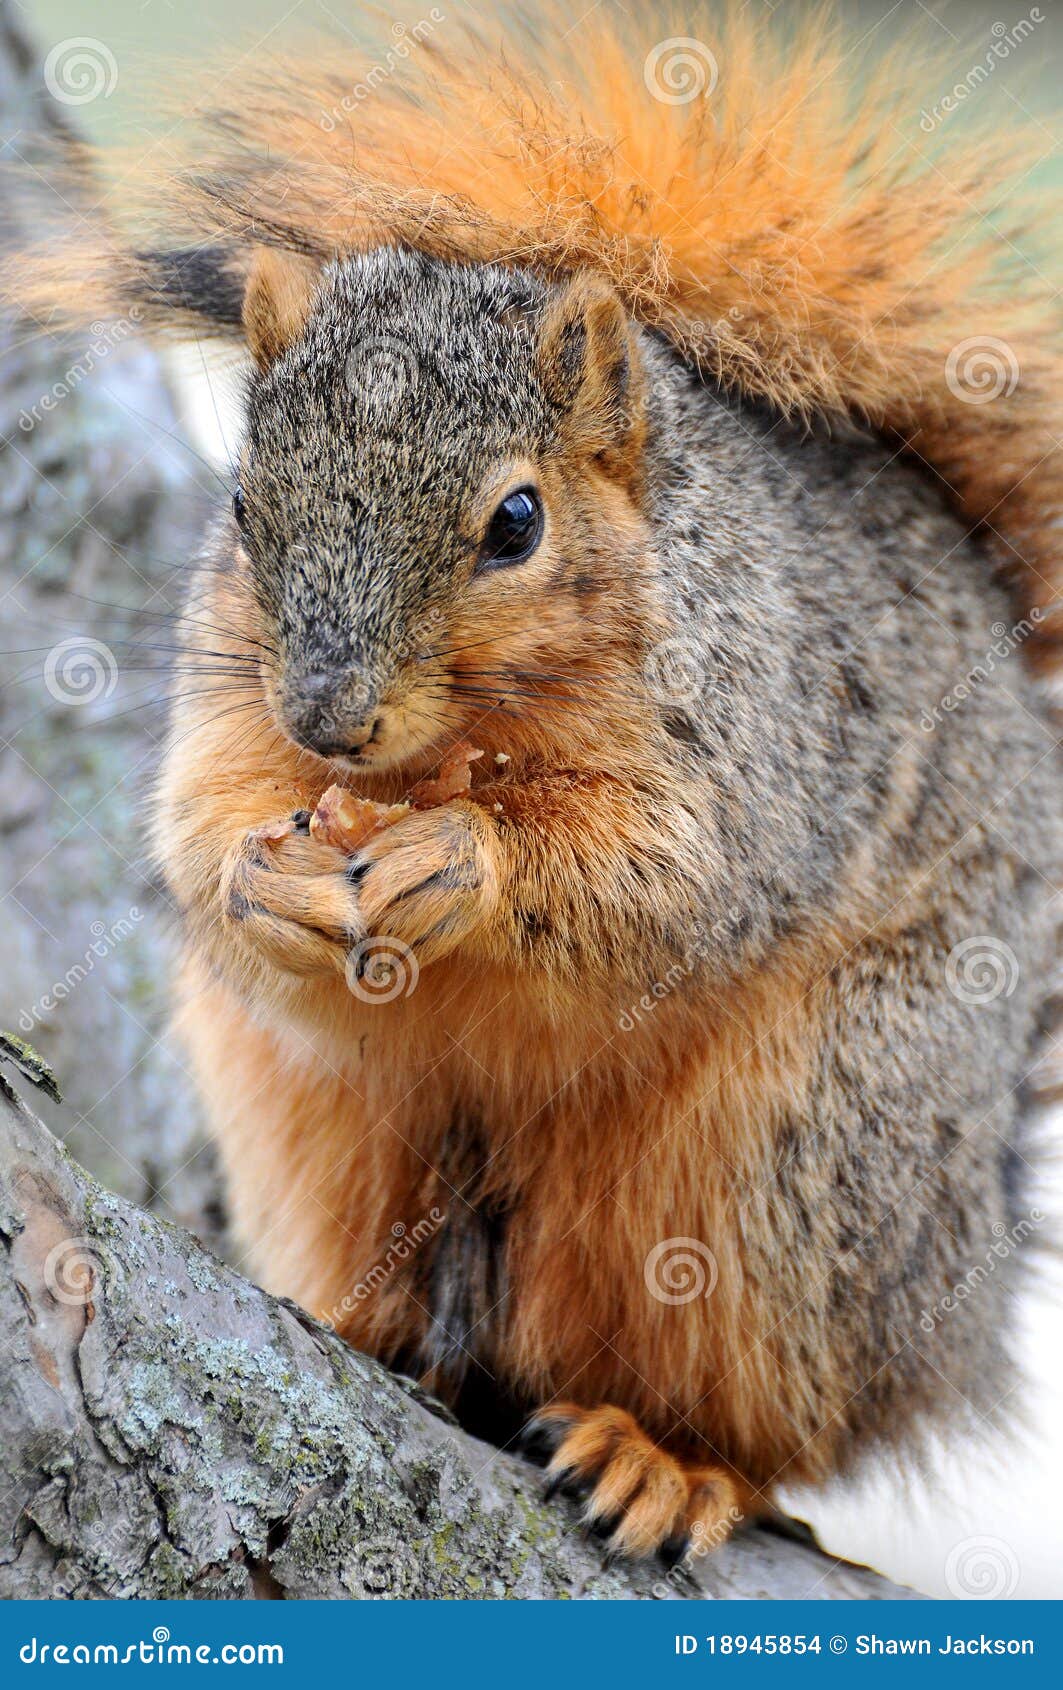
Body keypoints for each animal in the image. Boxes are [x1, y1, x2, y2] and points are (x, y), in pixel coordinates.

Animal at [18, 9, 1062, 1562]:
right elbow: (198, 821)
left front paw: (459, 860)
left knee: (773, 1420)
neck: (445, 752)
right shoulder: (230, 714)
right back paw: (376, 1332)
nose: (328, 715)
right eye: (244, 506)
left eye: (516, 521)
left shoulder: (748, 749)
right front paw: (262, 874)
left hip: (805, 1155)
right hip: (317, 1129)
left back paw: (668, 1458)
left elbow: (658, 883)